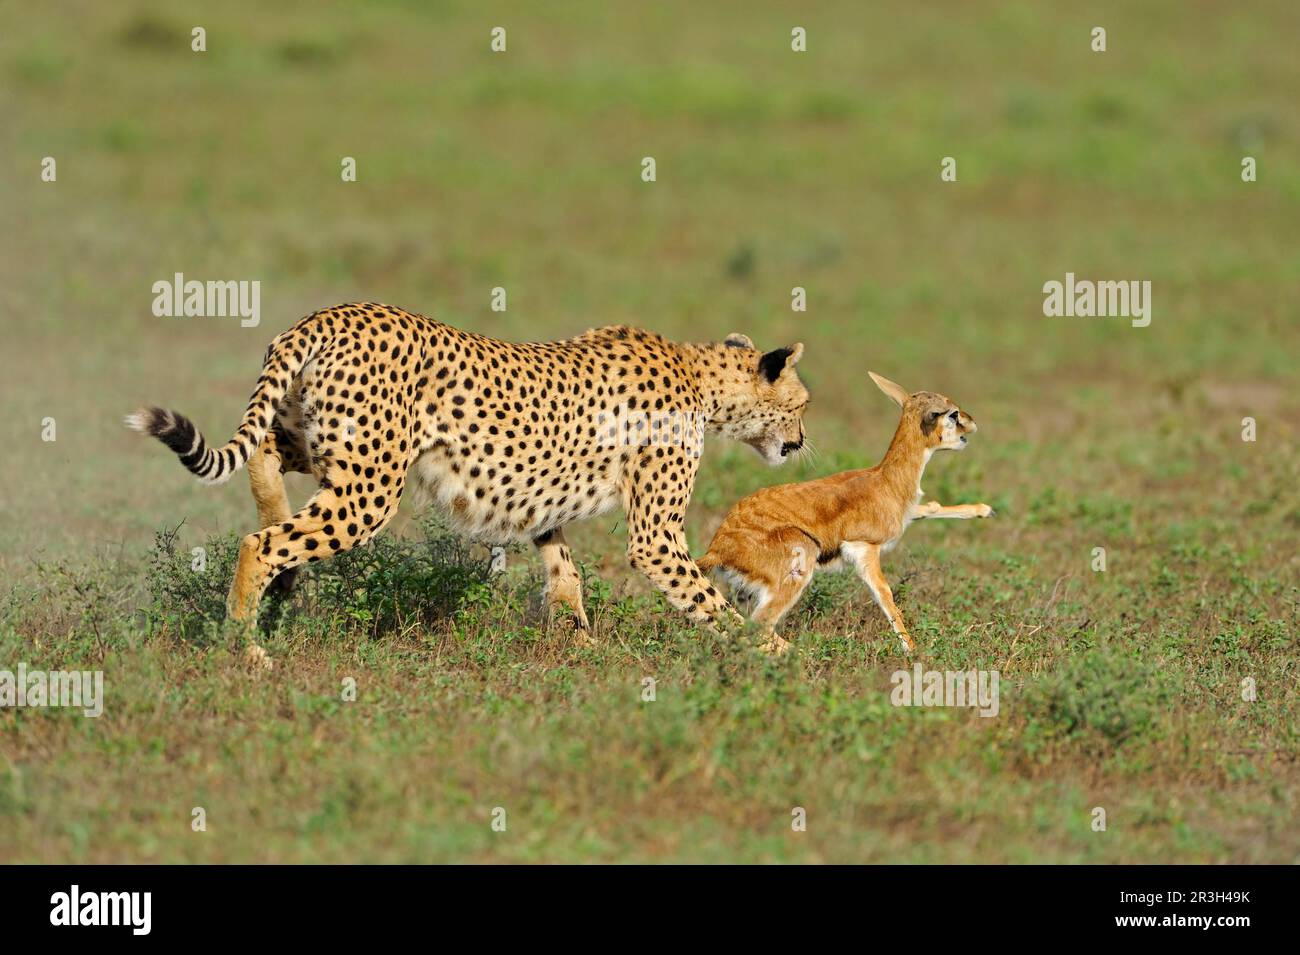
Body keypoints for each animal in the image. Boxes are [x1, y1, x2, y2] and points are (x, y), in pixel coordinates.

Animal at [127, 303, 809, 657]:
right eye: (801, 405)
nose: (802, 442)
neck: (700, 377)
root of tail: (328, 314)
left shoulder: (542, 503)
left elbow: (564, 572)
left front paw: (579, 644)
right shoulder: (655, 534)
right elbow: (701, 594)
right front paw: (773, 655)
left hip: (329, 446)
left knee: (264, 454)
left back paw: (276, 534)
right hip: (371, 483)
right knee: (260, 543)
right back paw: (245, 646)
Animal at [696, 372, 994, 653]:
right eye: (952, 414)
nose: (972, 422)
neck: (886, 483)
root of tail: (718, 548)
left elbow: (931, 507)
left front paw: (985, 510)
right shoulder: (865, 550)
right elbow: (885, 595)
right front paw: (912, 649)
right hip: (800, 561)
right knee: (758, 627)